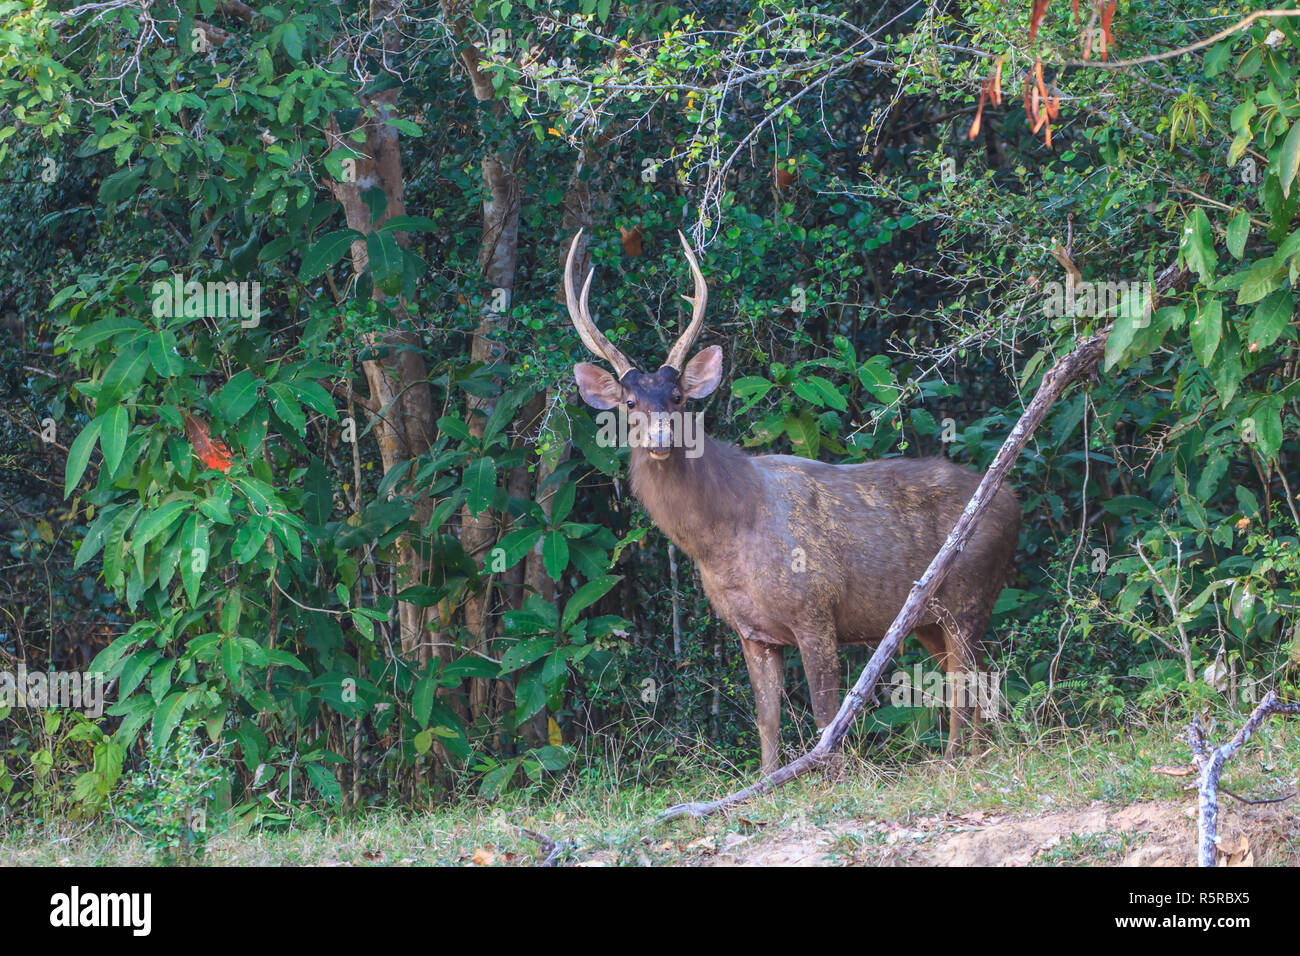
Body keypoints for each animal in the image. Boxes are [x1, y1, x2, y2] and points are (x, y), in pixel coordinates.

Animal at [563, 229, 1022, 775]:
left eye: (678, 398)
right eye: (630, 402)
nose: (660, 437)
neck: (725, 537)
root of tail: (1015, 499)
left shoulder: (815, 607)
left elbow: (827, 714)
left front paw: (833, 778)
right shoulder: (751, 631)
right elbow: (766, 720)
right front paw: (765, 780)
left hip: (970, 592)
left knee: (966, 683)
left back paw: (955, 759)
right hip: (930, 617)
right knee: (974, 678)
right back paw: (977, 753)